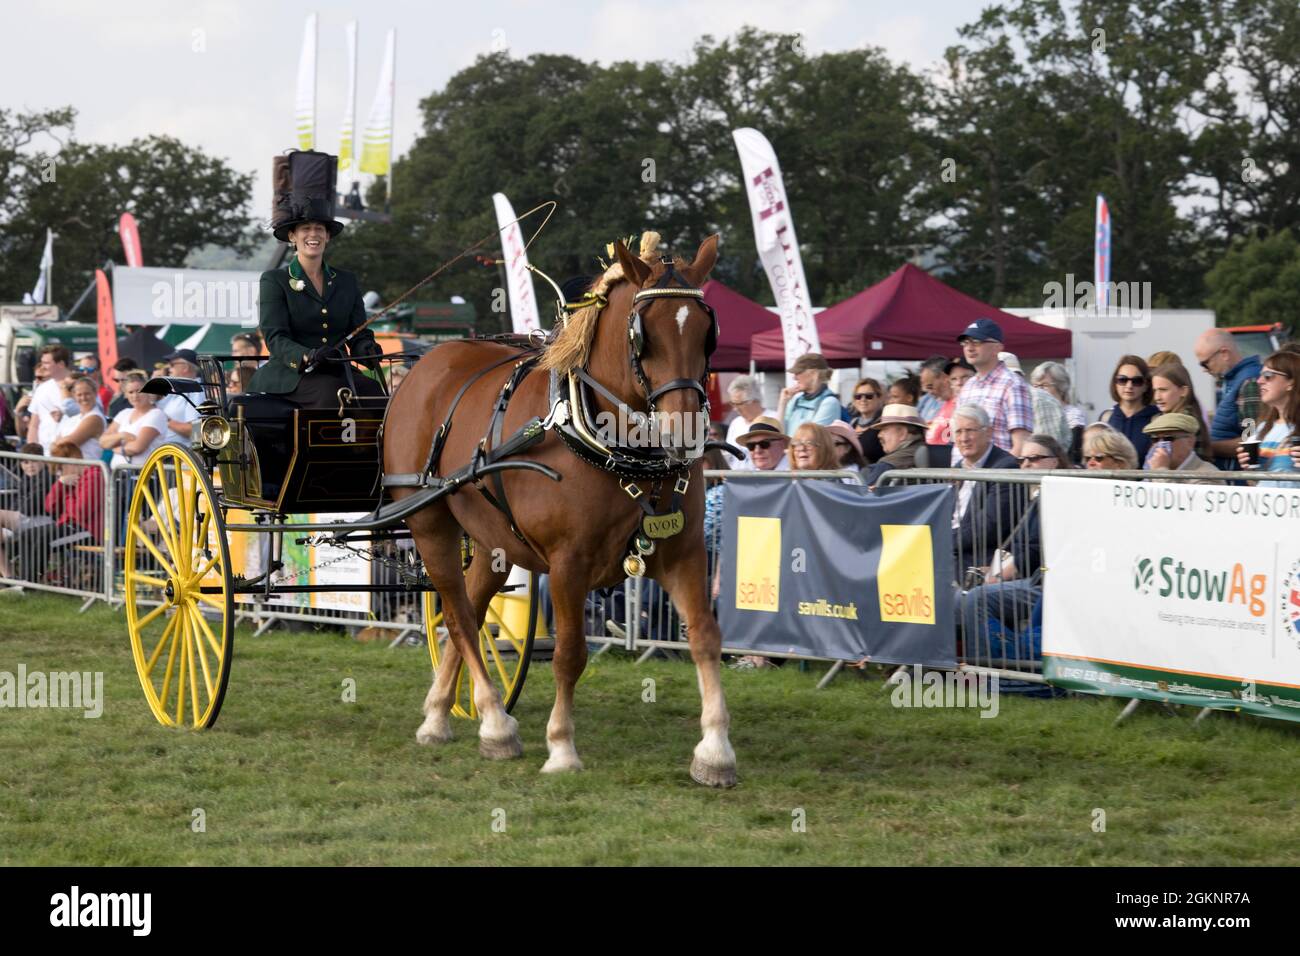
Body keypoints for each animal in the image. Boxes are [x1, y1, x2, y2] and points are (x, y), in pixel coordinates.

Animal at [384, 232, 737, 787]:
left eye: (707, 331)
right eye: (644, 335)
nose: (684, 432)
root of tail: (425, 365)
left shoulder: (684, 552)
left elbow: (704, 637)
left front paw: (716, 751)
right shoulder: (569, 562)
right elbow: (570, 654)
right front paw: (562, 747)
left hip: (493, 542)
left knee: (472, 611)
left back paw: (445, 715)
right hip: (430, 523)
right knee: (457, 617)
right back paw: (494, 723)